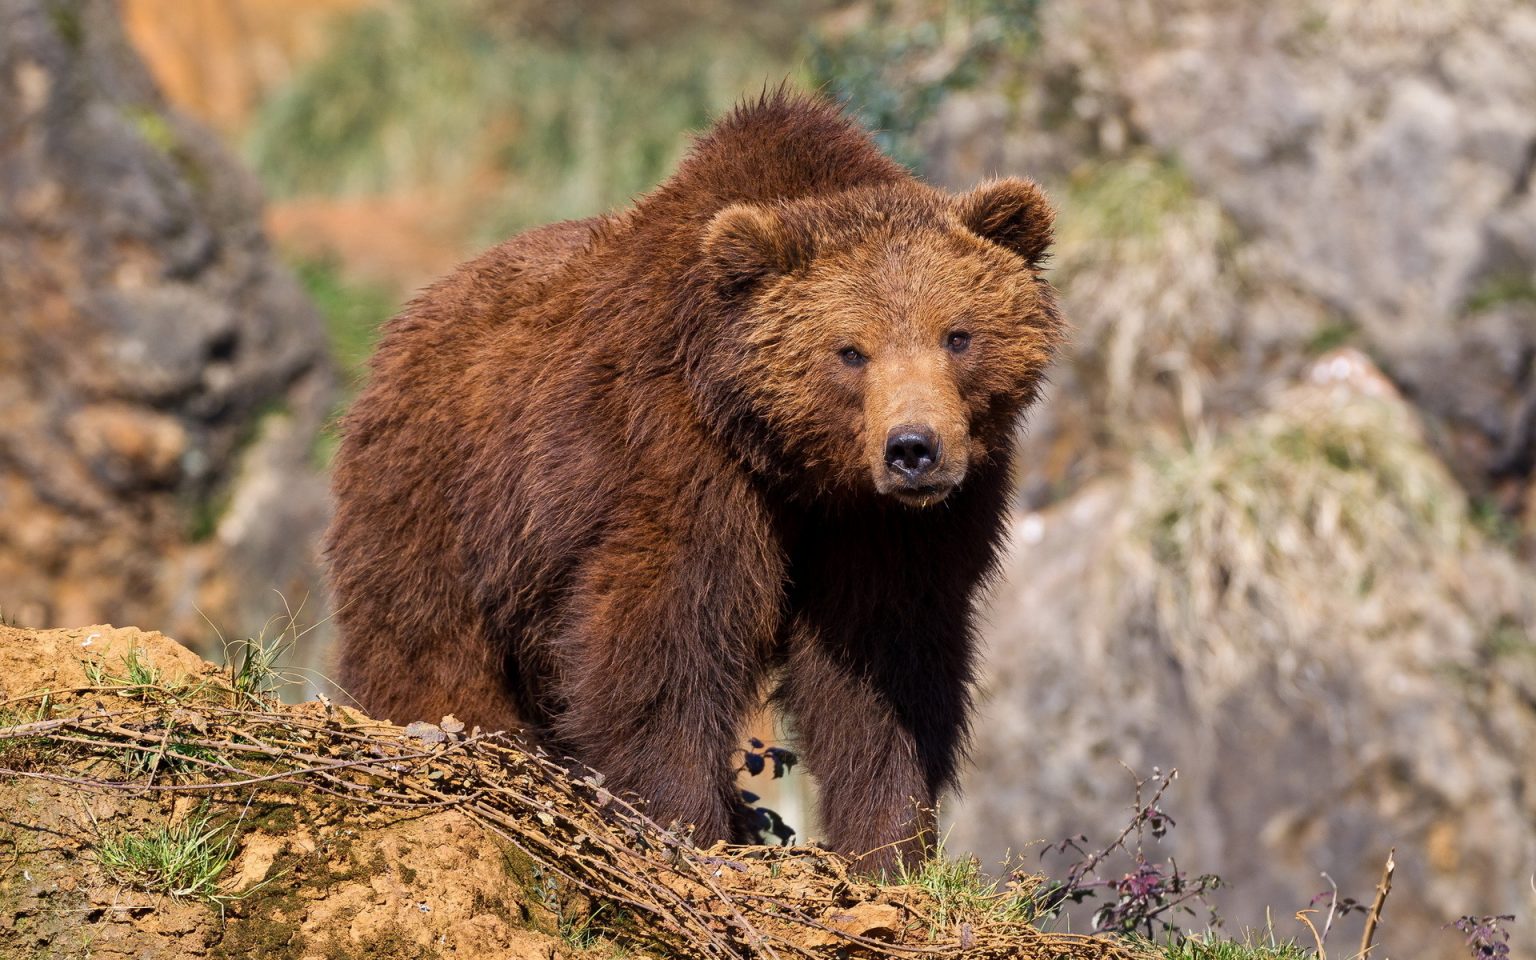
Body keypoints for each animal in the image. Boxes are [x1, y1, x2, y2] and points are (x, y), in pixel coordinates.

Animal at [326, 90, 1063, 872]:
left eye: (958, 335)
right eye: (850, 351)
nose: (914, 450)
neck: (798, 465)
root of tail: (405, 322)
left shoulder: (897, 526)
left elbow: (884, 666)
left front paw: (889, 844)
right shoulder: (676, 457)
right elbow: (664, 640)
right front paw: (687, 821)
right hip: (441, 491)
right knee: (426, 636)